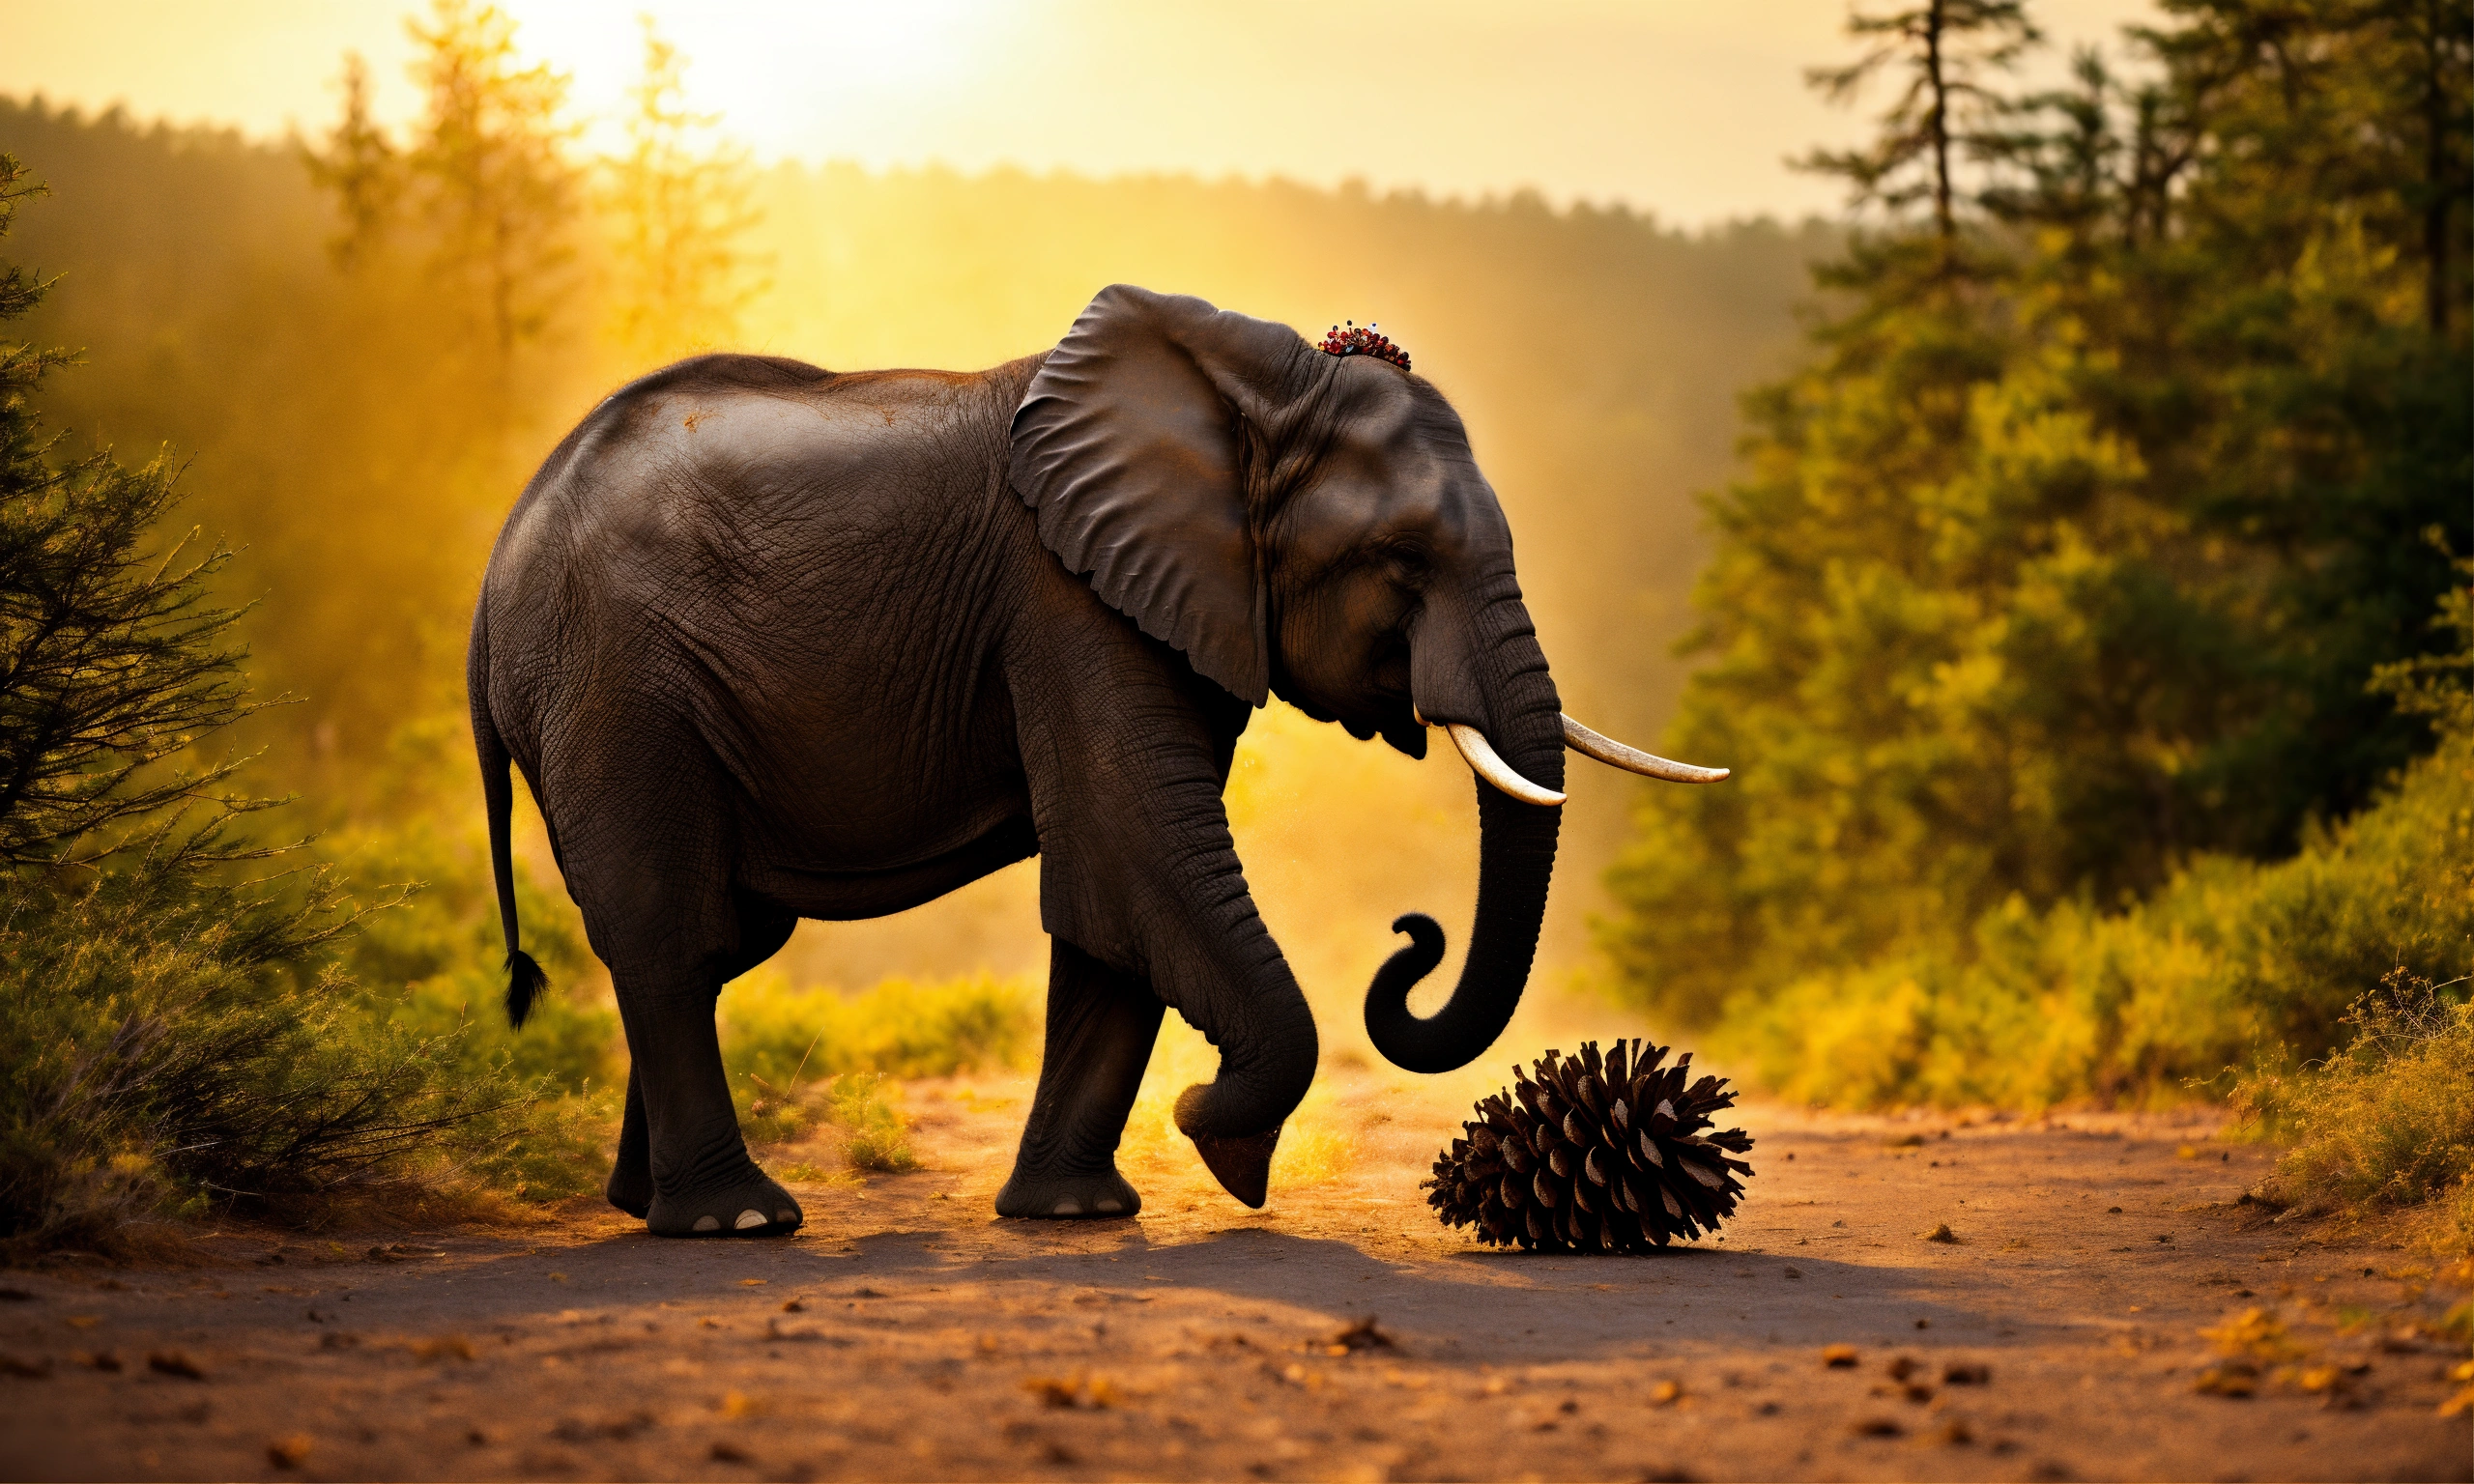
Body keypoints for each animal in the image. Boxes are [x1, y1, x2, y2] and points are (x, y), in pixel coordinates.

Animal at [468, 284, 1725, 1238]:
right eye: (1399, 559)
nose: (1411, 938)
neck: (1253, 389)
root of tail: (499, 558)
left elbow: (1113, 906)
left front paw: (1079, 1212)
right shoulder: (1067, 600)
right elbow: (1138, 857)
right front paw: (1222, 1144)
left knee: (715, 944)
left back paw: (644, 1206)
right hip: (617, 686)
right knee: (672, 935)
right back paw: (735, 1221)